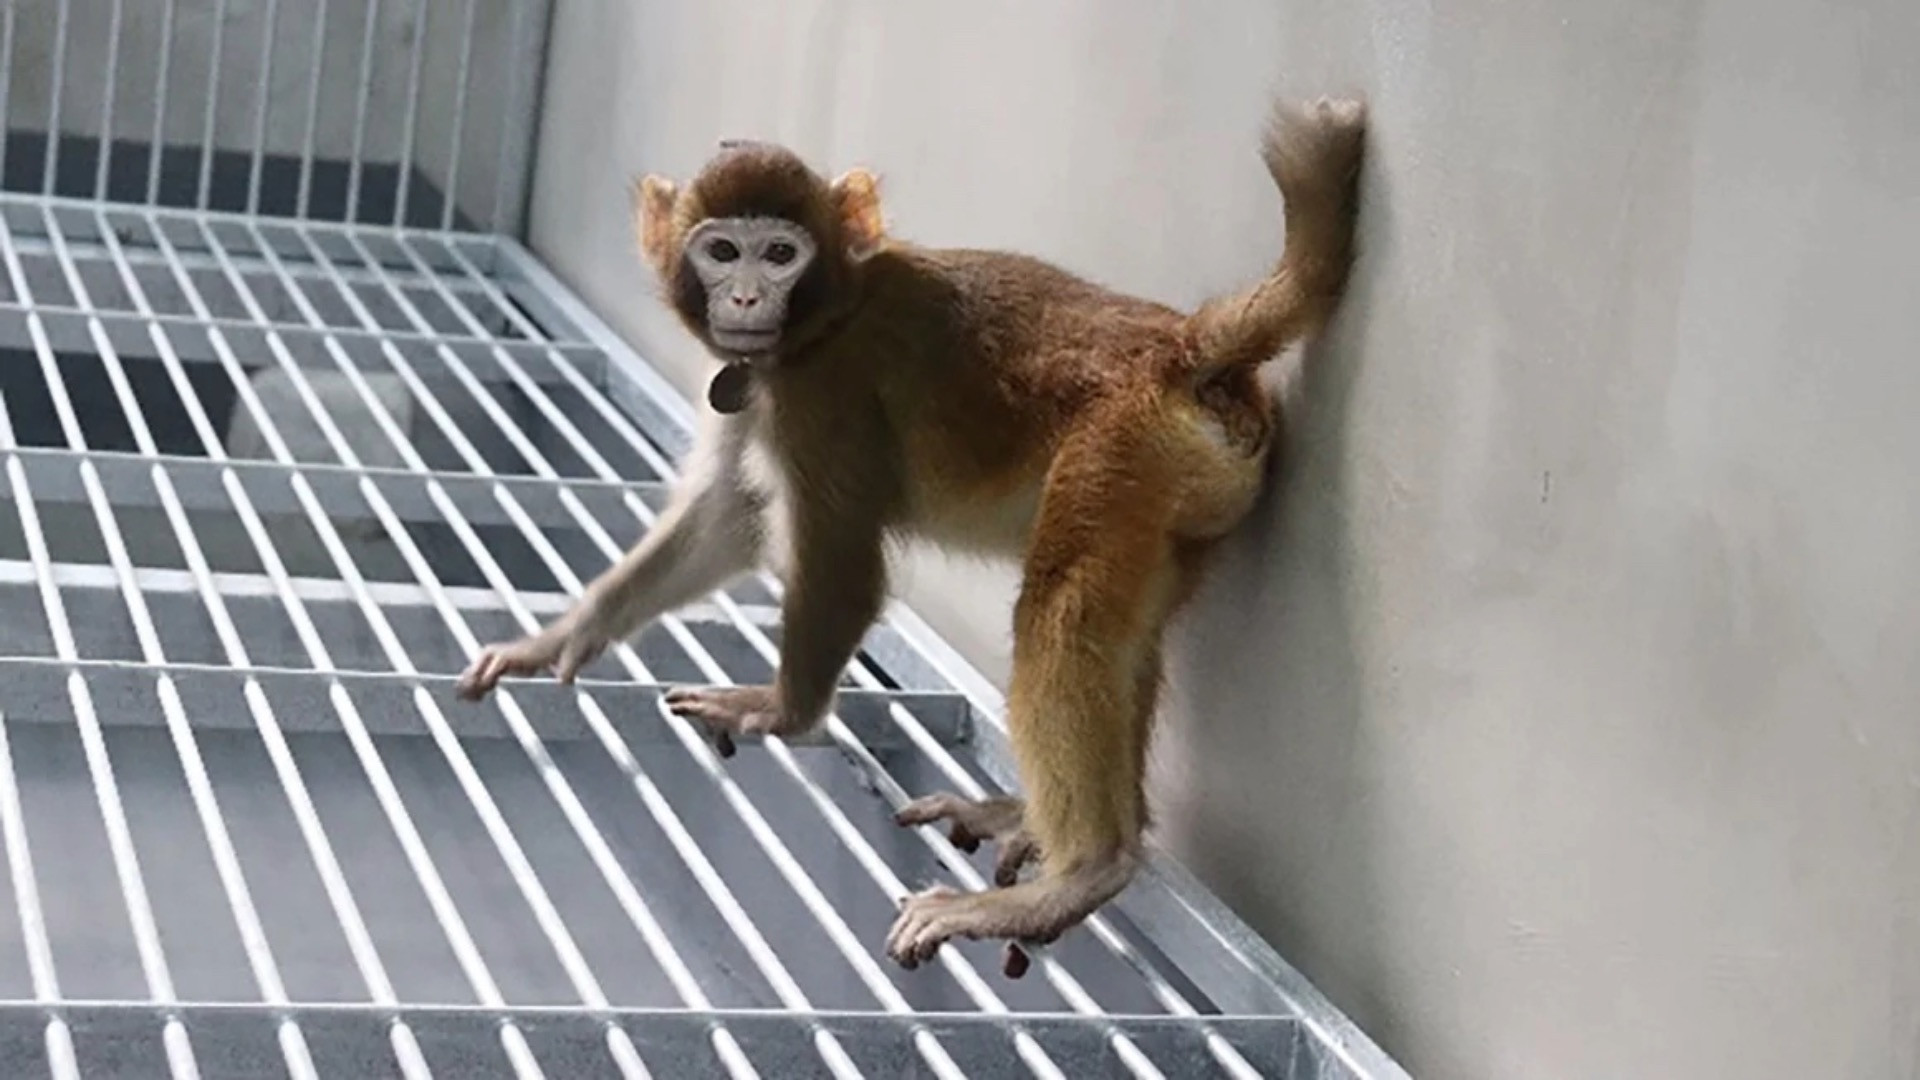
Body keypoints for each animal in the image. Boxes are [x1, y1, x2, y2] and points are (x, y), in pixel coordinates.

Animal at [454, 96, 1368, 974]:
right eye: (721, 251)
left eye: (778, 254)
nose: (745, 299)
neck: (827, 316)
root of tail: (1180, 349)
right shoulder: (759, 384)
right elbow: (726, 518)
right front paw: (561, 637)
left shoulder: (825, 396)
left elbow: (843, 564)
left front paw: (783, 711)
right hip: (1176, 492)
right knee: (1118, 632)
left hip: (1120, 449)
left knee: (1062, 615)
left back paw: (1082, 871)